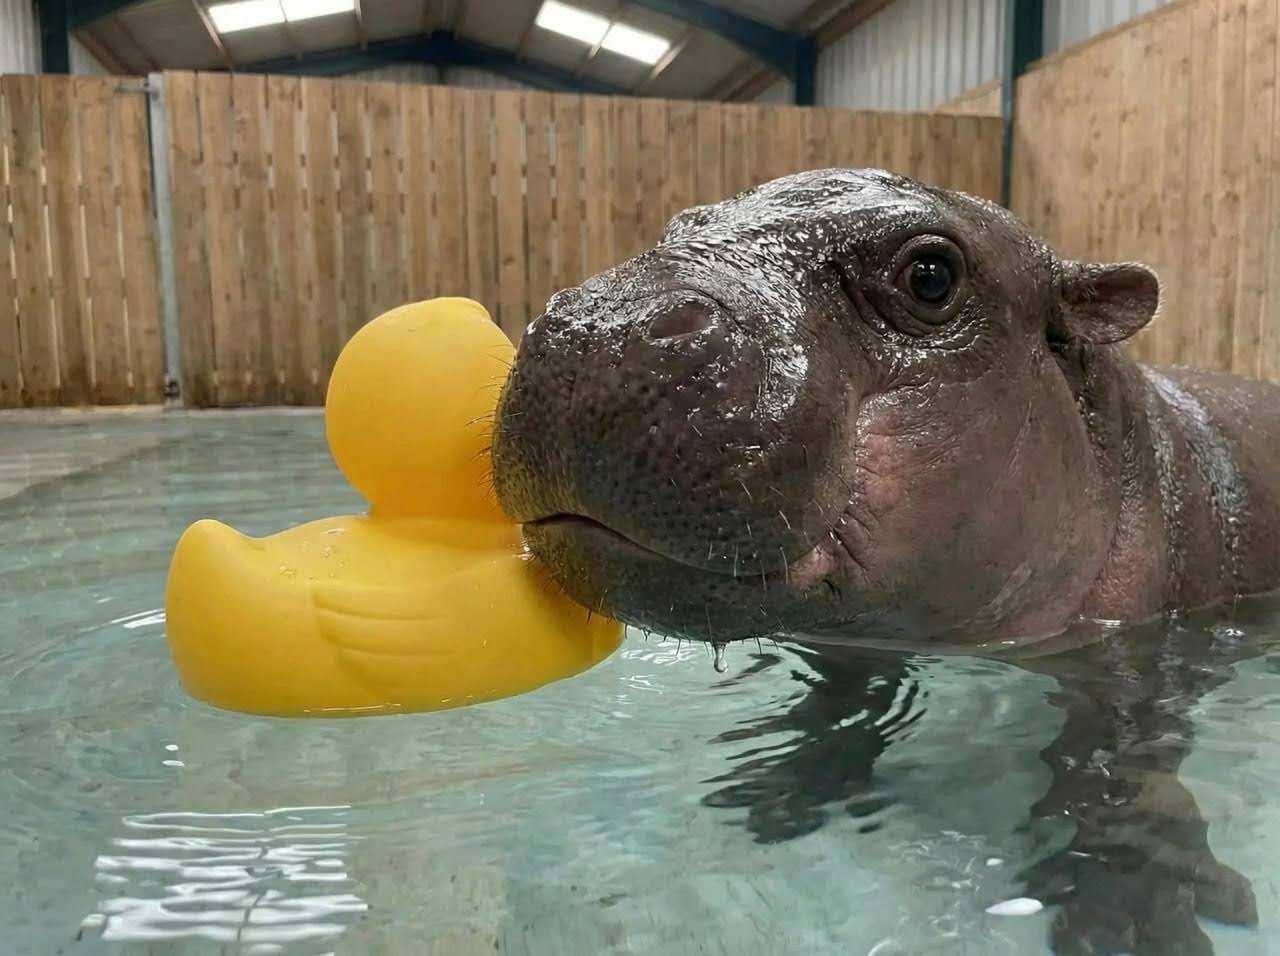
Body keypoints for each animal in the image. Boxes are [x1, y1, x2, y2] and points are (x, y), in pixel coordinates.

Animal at [491, 170, 1277, 954]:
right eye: (680, 226)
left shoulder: (1136, 667)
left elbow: (1117, 766)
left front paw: (1129, 918)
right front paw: (781, 788)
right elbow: (839, 707)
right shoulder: (845, 643)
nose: (602, 323)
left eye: (931, 278)